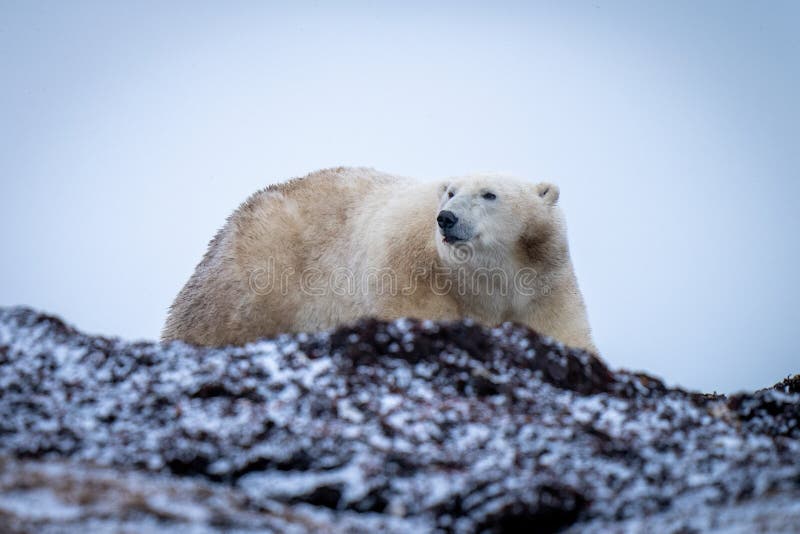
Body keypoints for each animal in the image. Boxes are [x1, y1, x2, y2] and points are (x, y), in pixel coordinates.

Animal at [162, 167, 596, 352]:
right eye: (451, 192)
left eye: (489, 194)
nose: (446, 218)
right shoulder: (412, 271)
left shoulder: (544, 285)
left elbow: (565, 332)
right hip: (257, 279)